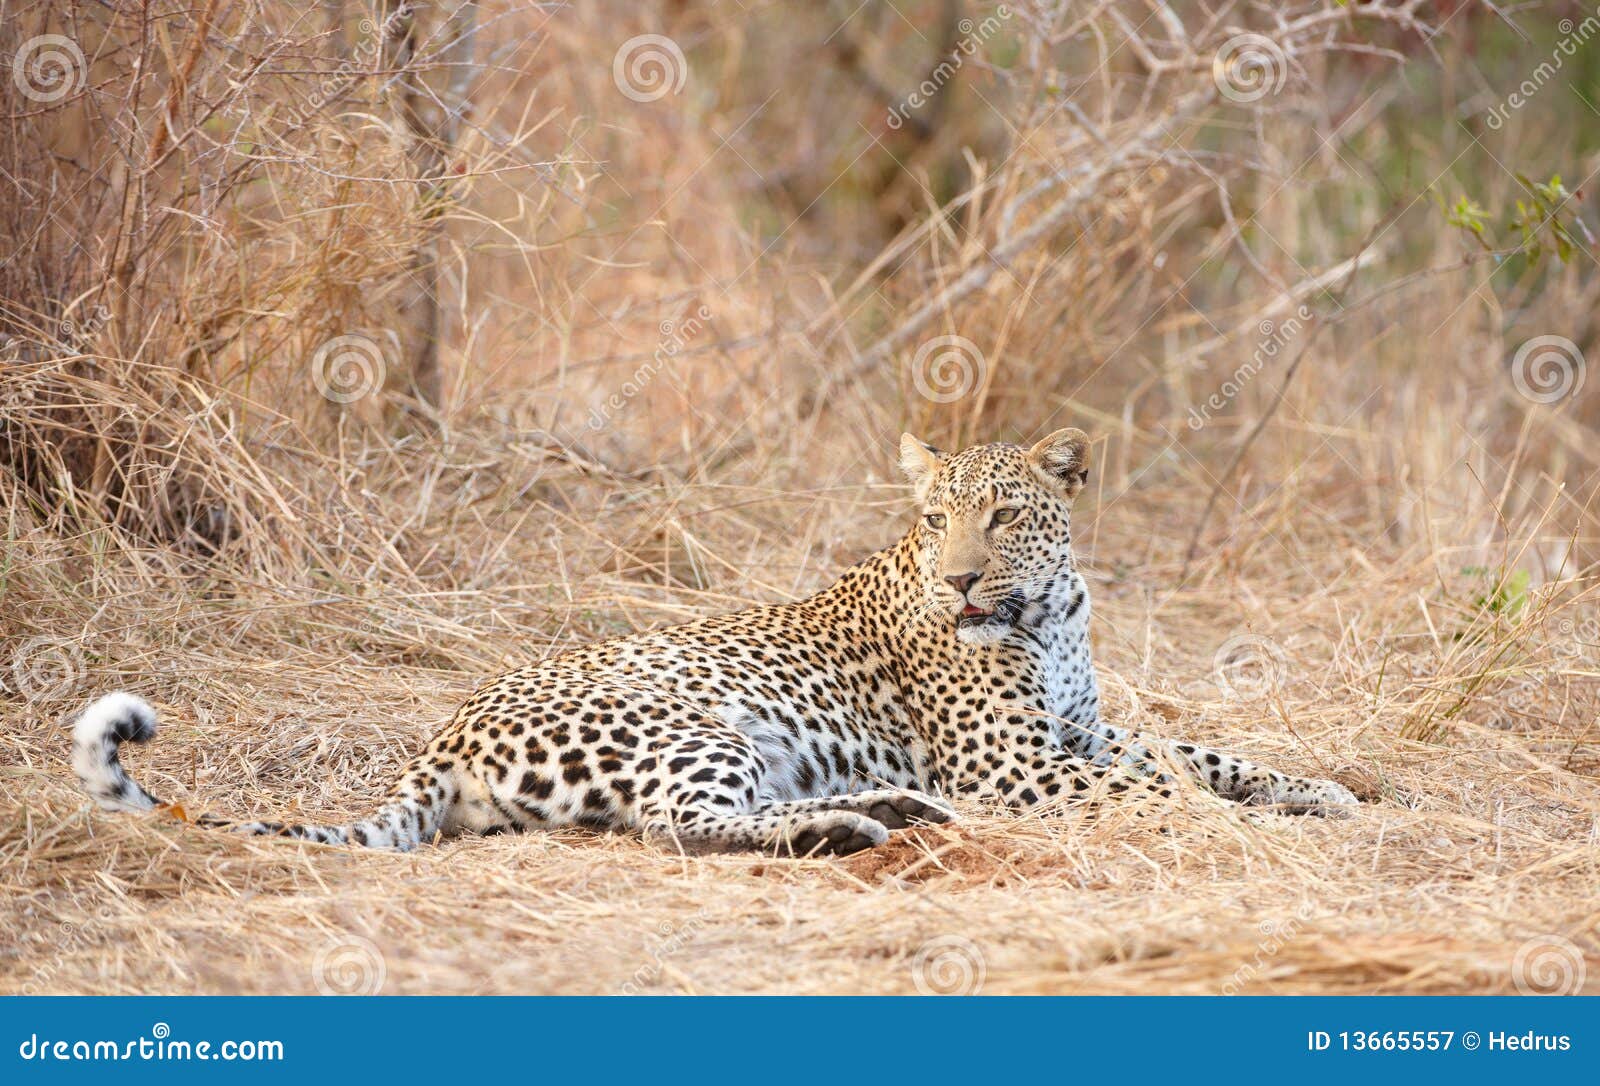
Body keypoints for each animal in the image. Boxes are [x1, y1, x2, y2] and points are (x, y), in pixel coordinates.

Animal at [72, 428, 1359, 857]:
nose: (960, 579)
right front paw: (1240, 825)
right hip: (692, 724)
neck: (1047, 615)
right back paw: (856, 828)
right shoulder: (1018, 766)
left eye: (1002, 515)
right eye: (934, 520)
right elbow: (1161, 789)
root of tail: (439, 740)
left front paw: (1324, 791)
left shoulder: (1081, 736)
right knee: (679, 827)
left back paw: (889, 814)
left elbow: (1202, 754)